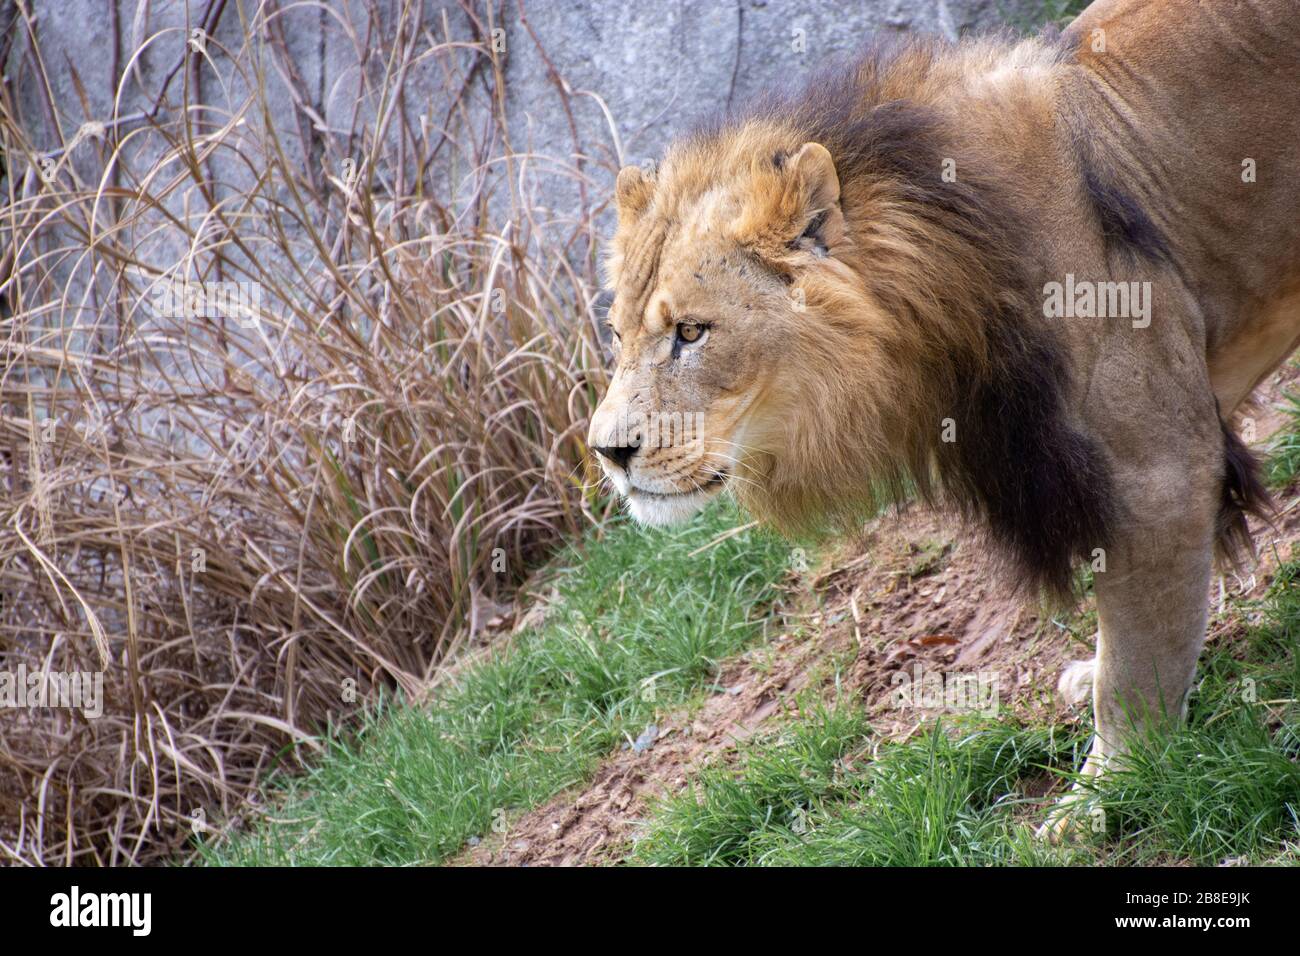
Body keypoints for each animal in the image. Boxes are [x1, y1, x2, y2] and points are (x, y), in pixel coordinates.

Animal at [587, 0, 1300, 836]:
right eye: (618, 335)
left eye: (692, 333)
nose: (606, 452)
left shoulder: (1157, 472)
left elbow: (1132, 665)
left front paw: (1106, 793)